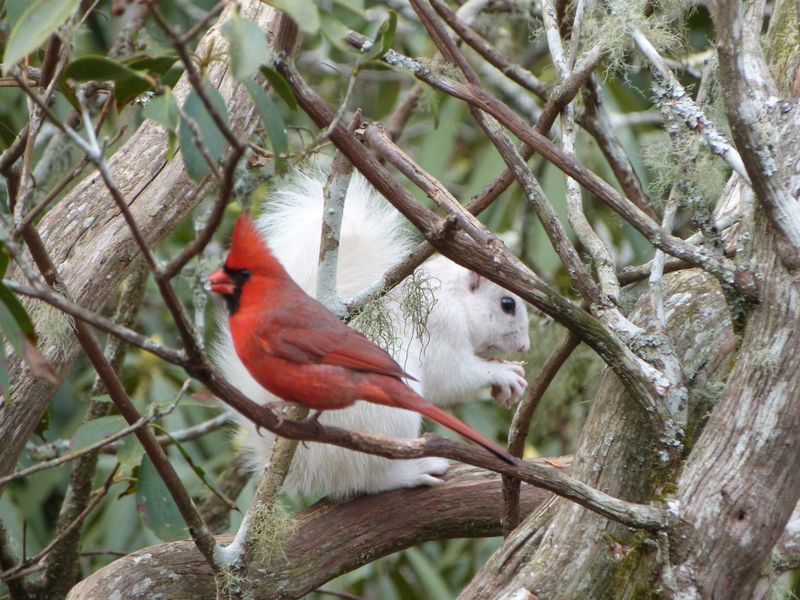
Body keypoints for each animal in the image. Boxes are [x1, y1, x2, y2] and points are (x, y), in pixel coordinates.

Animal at [213, 171, 530, 500]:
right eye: (507, 304)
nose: (524, 347)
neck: (452, 293)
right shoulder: (442, 328)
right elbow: (453, 376)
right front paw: (505, 374)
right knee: (368, 478)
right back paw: (411, 471)